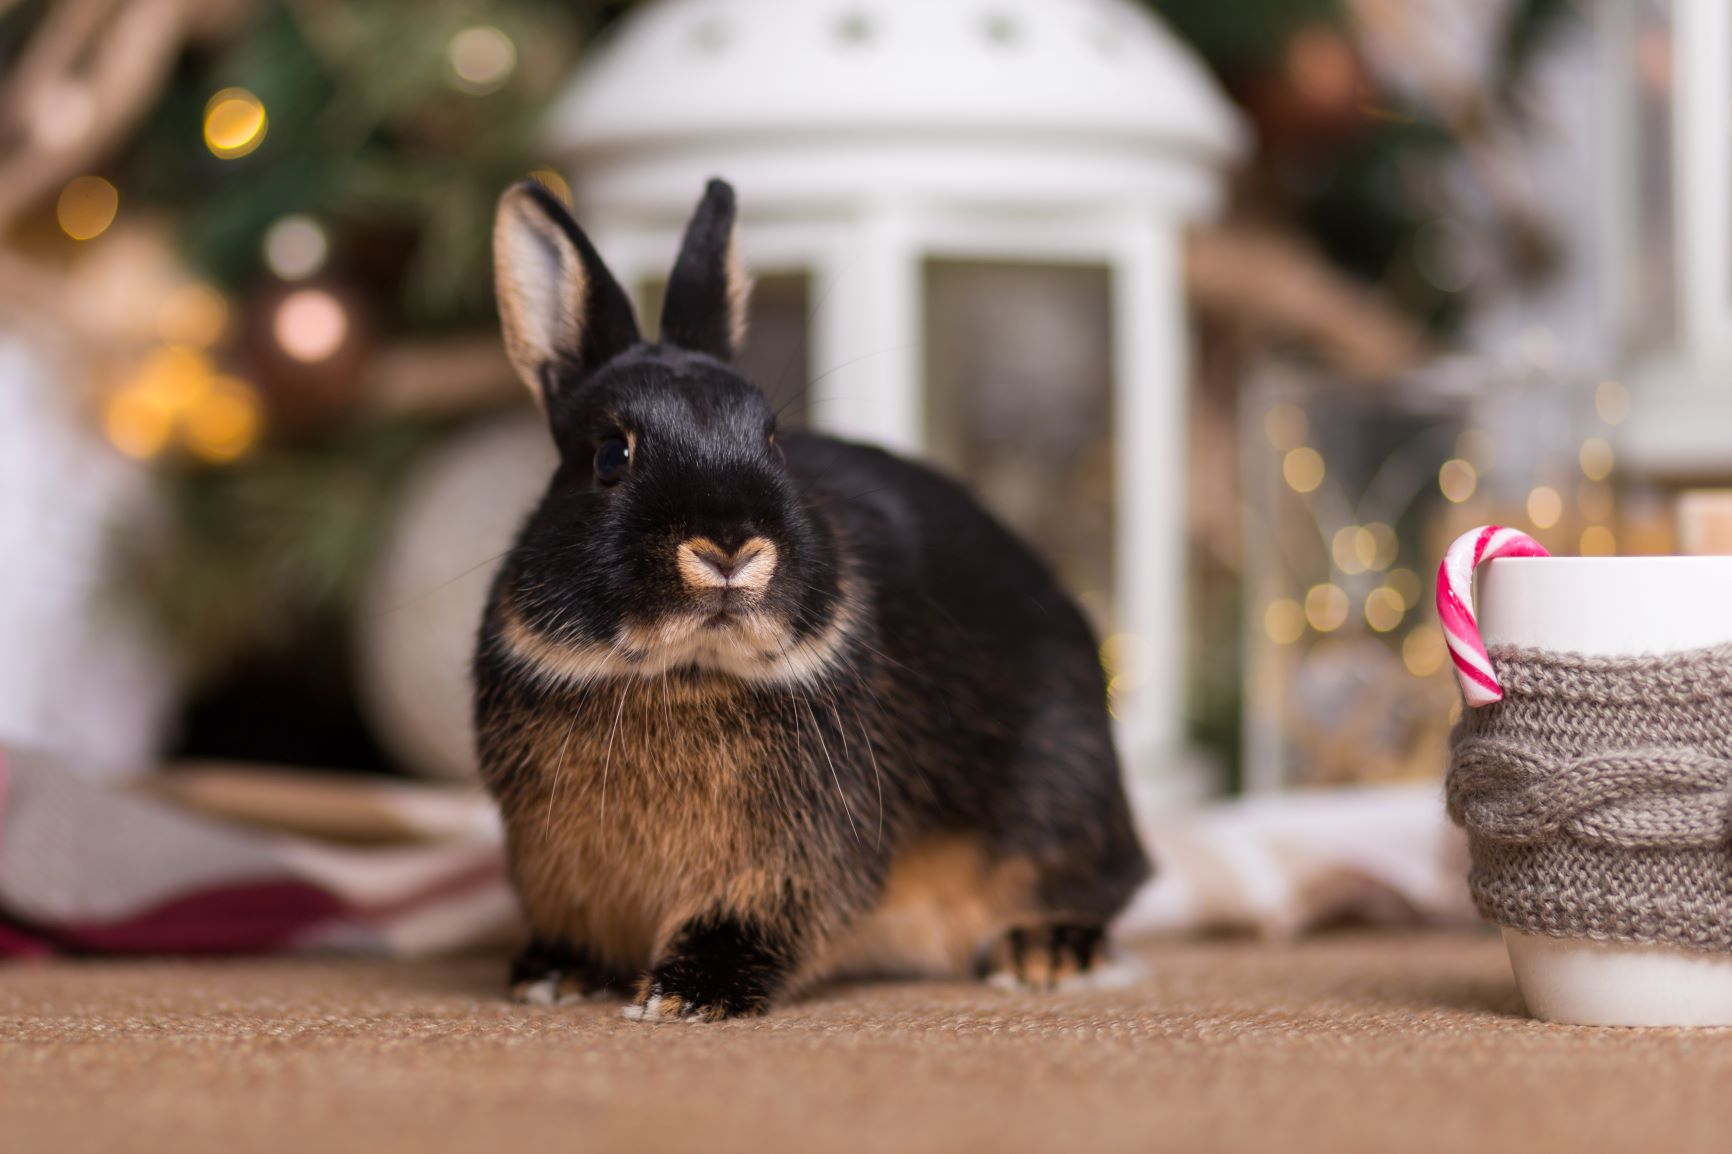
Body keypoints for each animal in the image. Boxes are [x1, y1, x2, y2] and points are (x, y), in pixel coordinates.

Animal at [474, 177, 1151, 1021]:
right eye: (610, 455)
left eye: (772, 442)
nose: (730, 550)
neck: (684, 672)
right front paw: (553, 976)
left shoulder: (796, 859)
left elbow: (760, 916)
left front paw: (686, 998)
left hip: (1061, 794)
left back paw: (1045, 953)